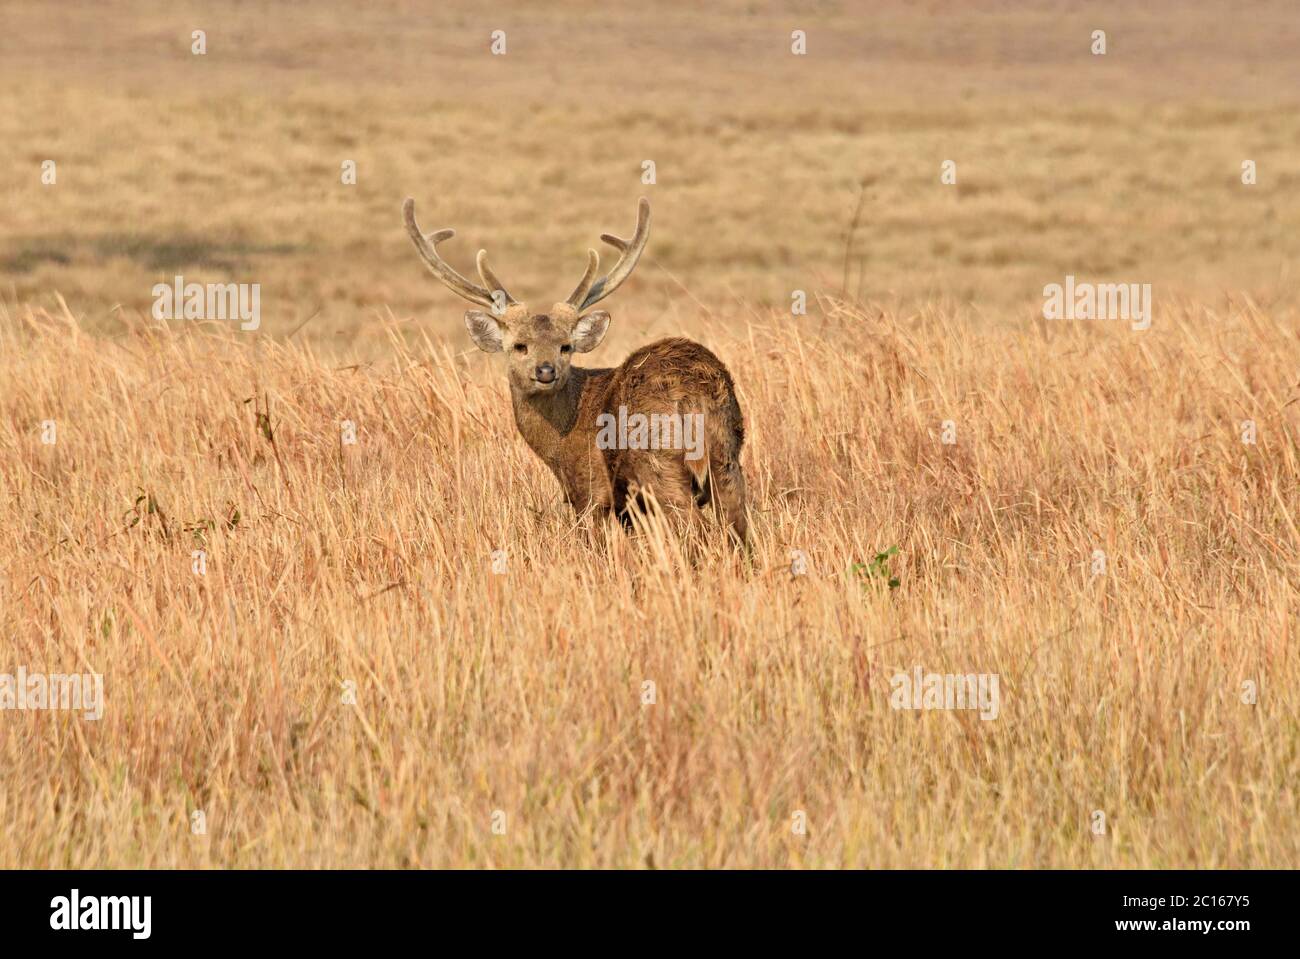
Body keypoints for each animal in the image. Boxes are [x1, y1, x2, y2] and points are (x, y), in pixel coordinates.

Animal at [402, 196, 748, 546]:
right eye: (519, 345)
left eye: (565, 346)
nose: (545, 371)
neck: (559, 442)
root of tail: (691, 392)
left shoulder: (590, 492)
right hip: (726, 454)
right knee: (738, 528)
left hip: (655, 460)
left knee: (695, 527)